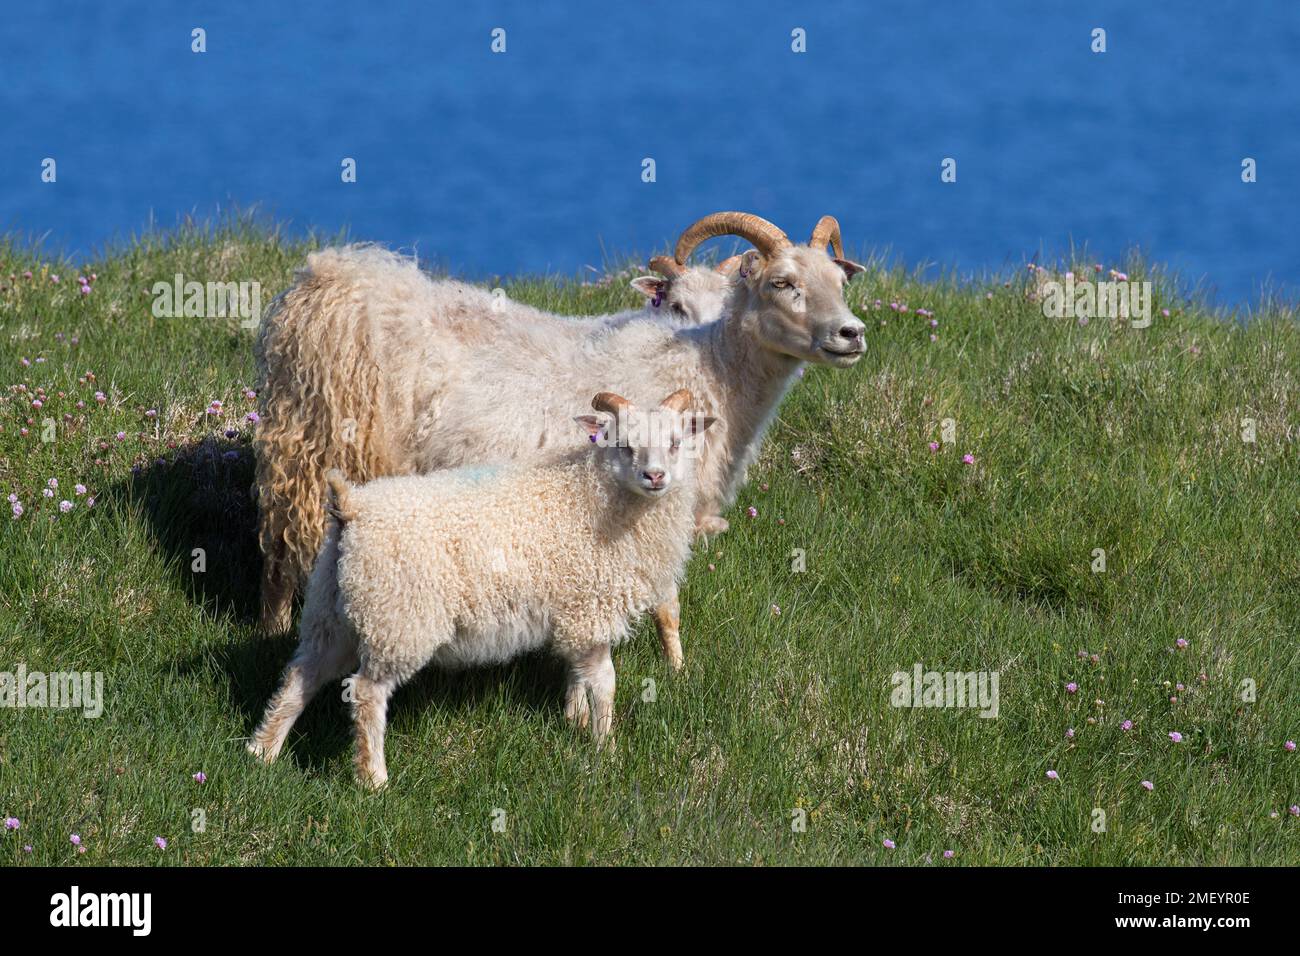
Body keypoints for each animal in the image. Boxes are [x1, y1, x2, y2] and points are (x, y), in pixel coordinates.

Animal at [248, 389, 717, 788]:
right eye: (623, 444)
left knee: (300, 676)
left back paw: (262, 751)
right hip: (399, 618)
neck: (591, 493)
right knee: (366, 693)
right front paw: (607, 750)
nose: (654, 476)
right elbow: (604, 684)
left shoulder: (574, 609)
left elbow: (577, 674)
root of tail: (353, 507)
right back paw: (373, 779)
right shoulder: (591, 608)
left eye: (677, 442)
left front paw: (575, 719)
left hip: (333, 612)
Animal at [254, 211, 867, 672]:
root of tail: (325, 280)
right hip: (322, 441)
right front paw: (676, 669)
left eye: (840, 283)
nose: (853, 333)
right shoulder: (659, 499)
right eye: (781, 283)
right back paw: (274, 627)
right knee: (286, 542)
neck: (709, 368)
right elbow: (666, 601)